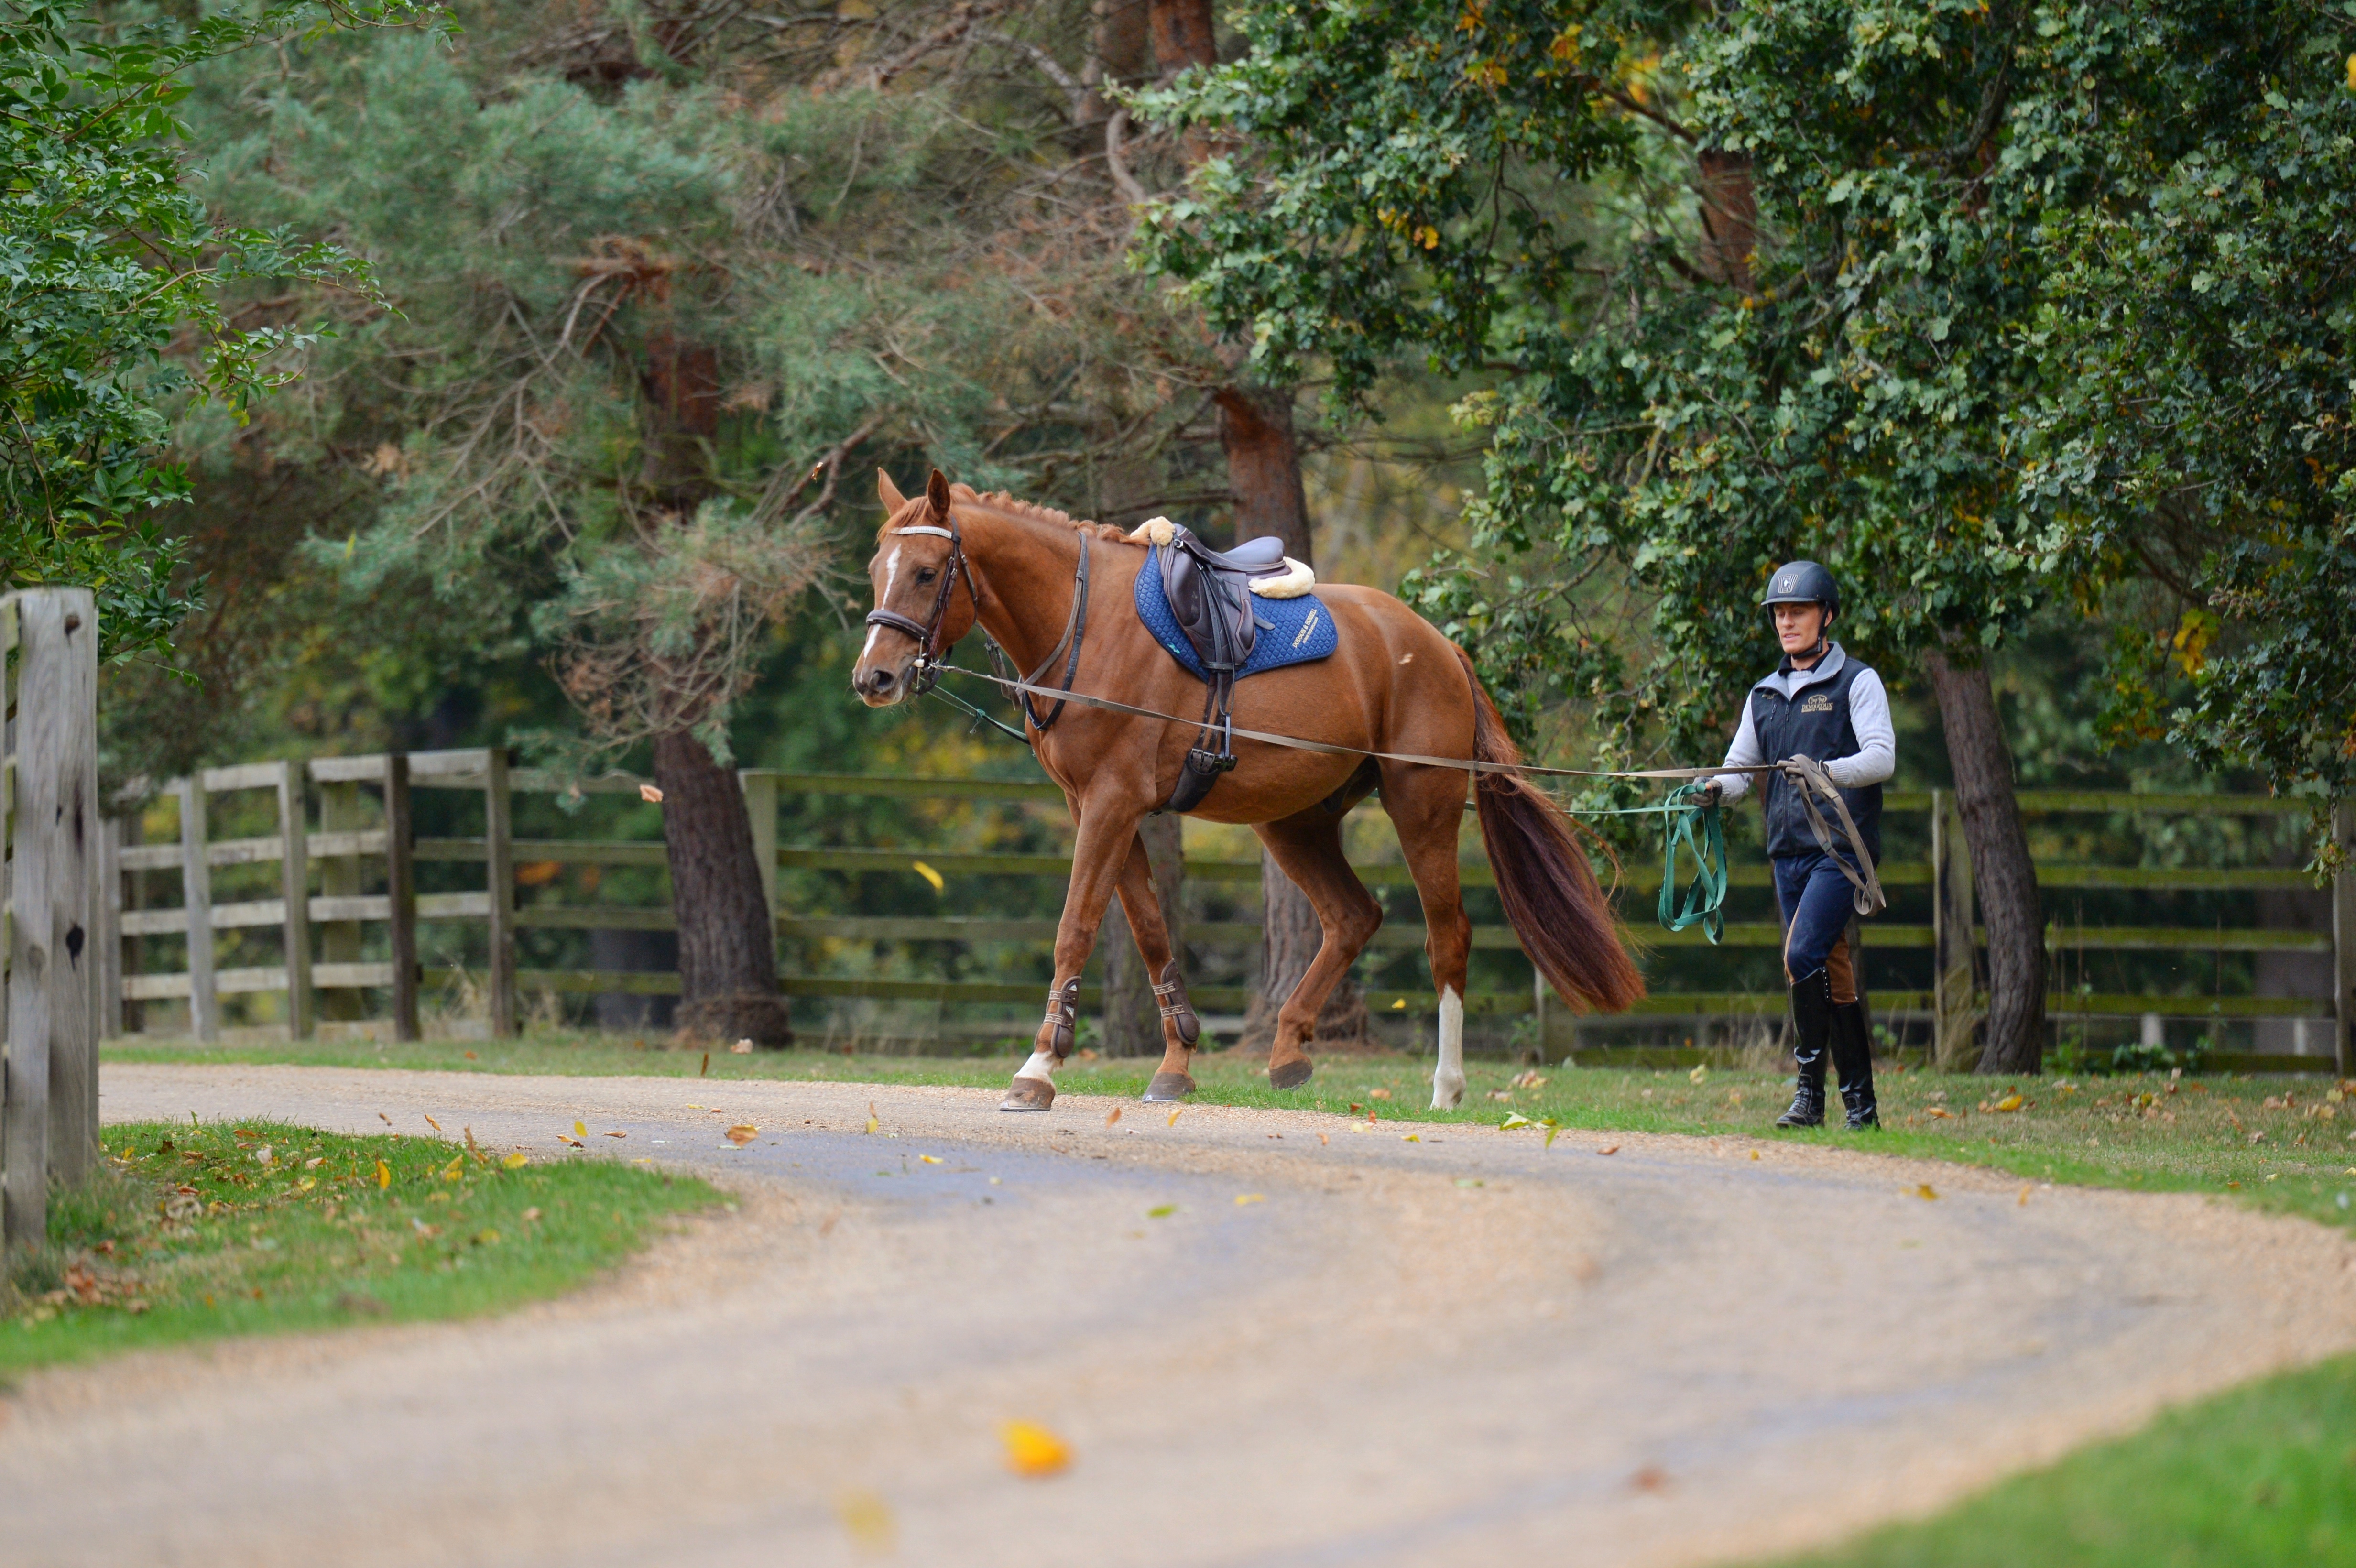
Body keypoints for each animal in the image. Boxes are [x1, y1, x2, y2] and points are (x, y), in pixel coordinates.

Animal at [852, 469, 1644, 1111]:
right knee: (1353, 918)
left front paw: (1040, 1066)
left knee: (1448, 936)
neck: (1084, 624)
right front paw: (1176, 1063)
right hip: (1295, 822)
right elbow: (1153, 935)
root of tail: (1439, 644)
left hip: (1423, 805)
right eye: (873, 569)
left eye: (926, 572)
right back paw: (1290, 1048)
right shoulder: (1105, 808)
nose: (873, 678)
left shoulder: (1111, 804)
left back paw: (1446, 1087)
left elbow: (1076, 928)